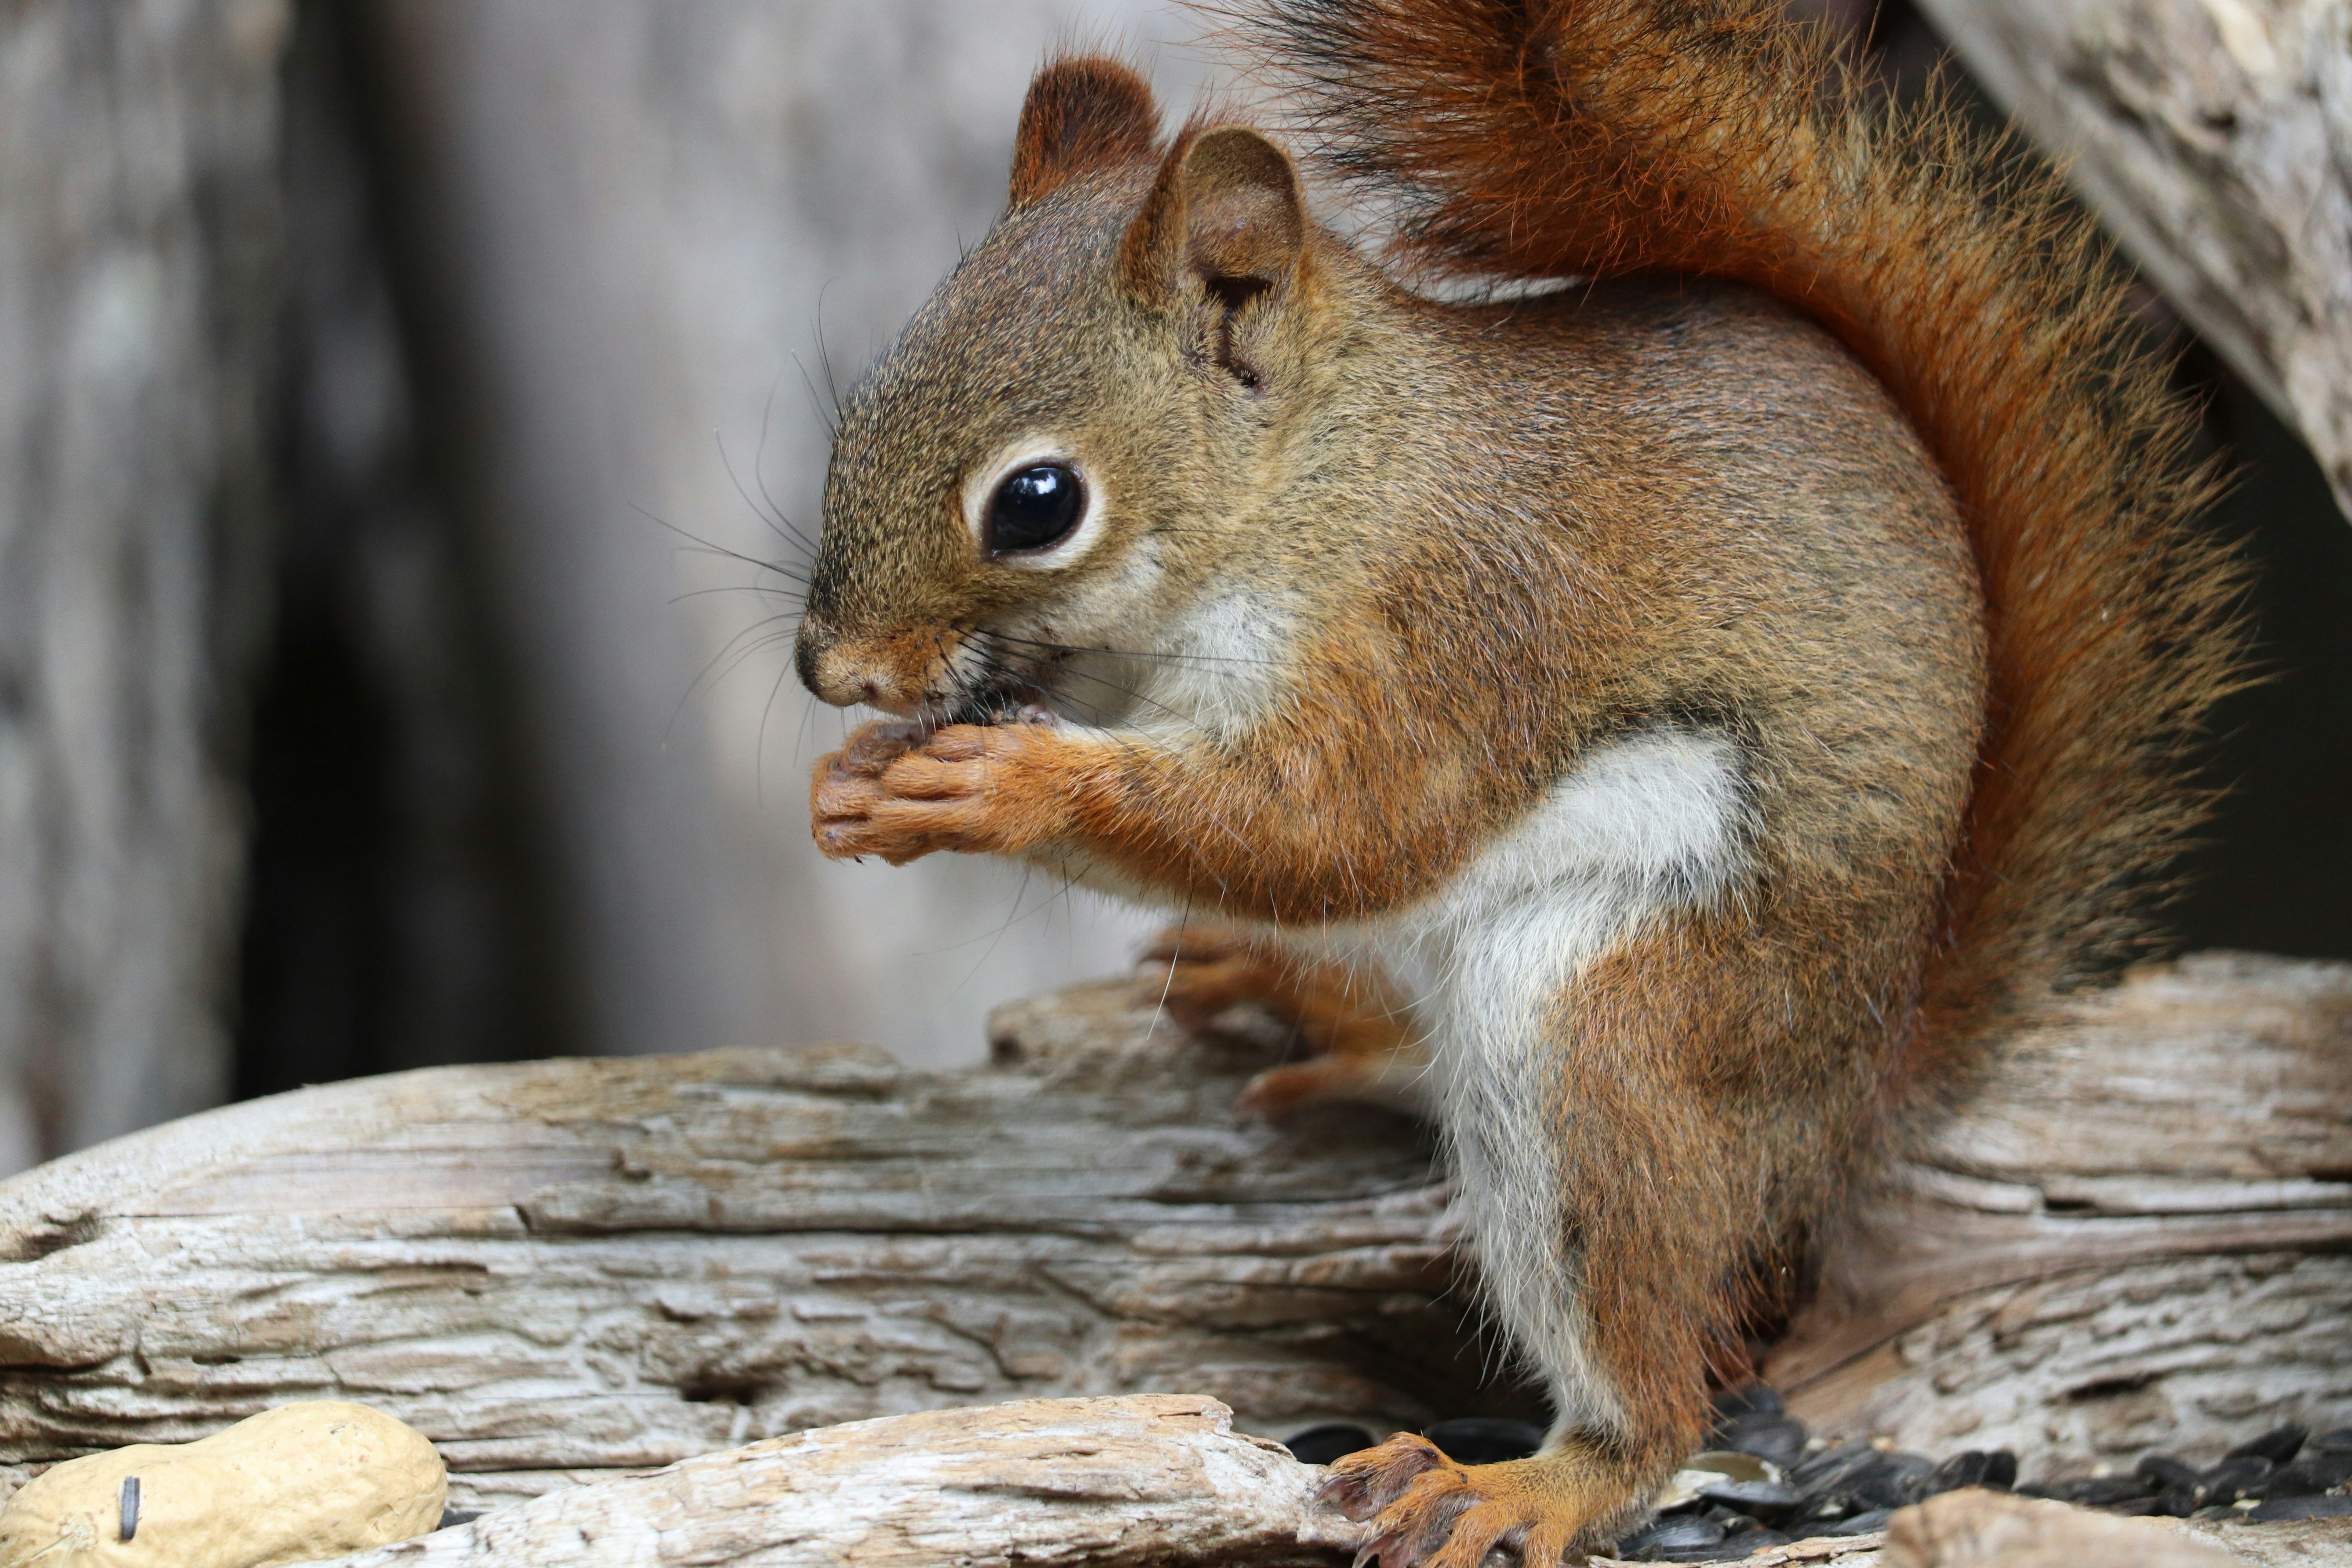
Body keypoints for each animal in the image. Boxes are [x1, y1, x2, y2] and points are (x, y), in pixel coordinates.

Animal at [792, 0, 2245, 1560]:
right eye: (857, 413)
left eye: (1037, 502)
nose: (829, 668)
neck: (1321, 476)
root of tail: (1849, 1093)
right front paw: (851, 781)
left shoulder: (1456, 627)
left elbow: (1328, 828)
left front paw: (993, 789)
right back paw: (1327, 1017)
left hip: (1609, 1022)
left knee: (1650, 1374)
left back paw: (1526, 1481)